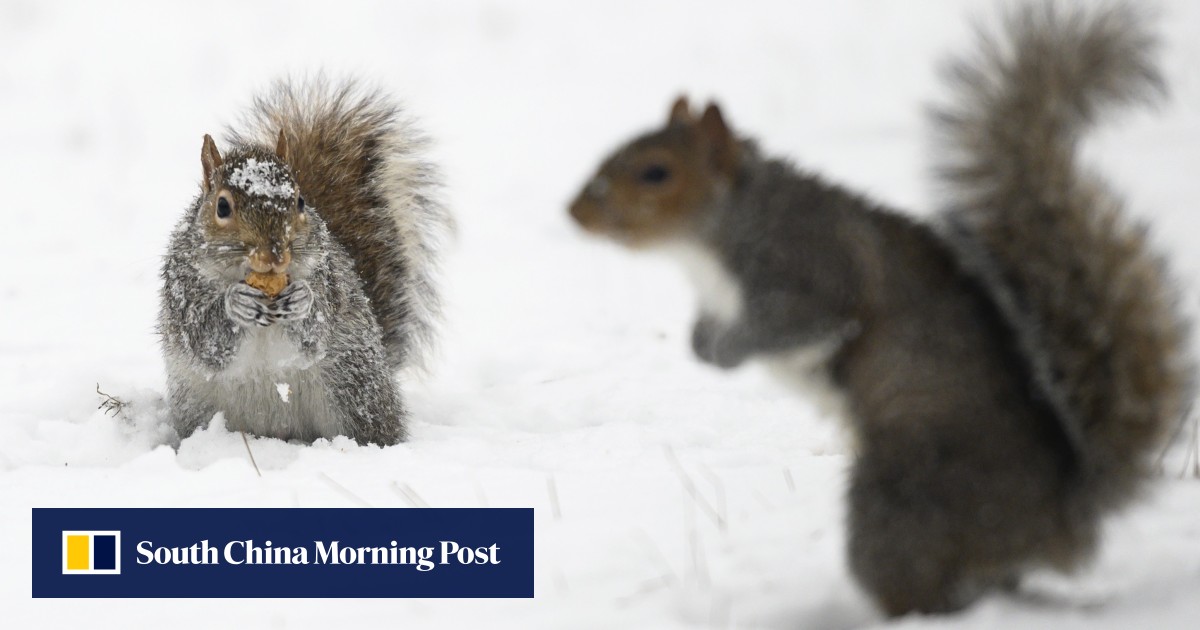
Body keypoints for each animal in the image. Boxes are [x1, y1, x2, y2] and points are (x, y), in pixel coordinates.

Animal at [159, 78, 450, 446]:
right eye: (222, 207)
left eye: (300, 201)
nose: (275, 255)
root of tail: (279, 431)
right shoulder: (183, 288)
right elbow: (204, 338)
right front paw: (236, 304)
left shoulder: (327, 278)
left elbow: (315, 333)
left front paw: (302, 301)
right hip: (198, 405)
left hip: (354, 386)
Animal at [569, 2, 1193, 616]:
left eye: (655, 173)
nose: (575, 211)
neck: (712, 240)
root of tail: (1066, 515)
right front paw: (700, 343)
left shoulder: (810, 269)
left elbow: (799, 320)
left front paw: (725, 351)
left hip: (904, 493)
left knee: (929, 590)